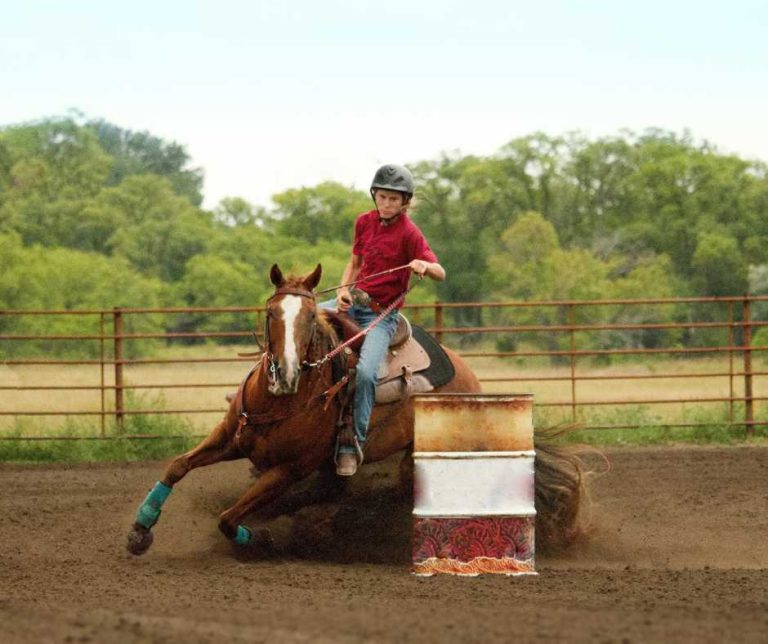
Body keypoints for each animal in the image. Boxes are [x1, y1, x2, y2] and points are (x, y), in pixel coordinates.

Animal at [126, 263, 585, 556]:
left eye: (310, 316)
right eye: (271, 312)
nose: (286, 373)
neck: (284, 398)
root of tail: (473, 383)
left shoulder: (288, 469)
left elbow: (227, 518)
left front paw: (262, 539)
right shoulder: (230, 438)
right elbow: (176, 466)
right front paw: (139, 530)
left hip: (415, 458)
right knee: (332, 490)